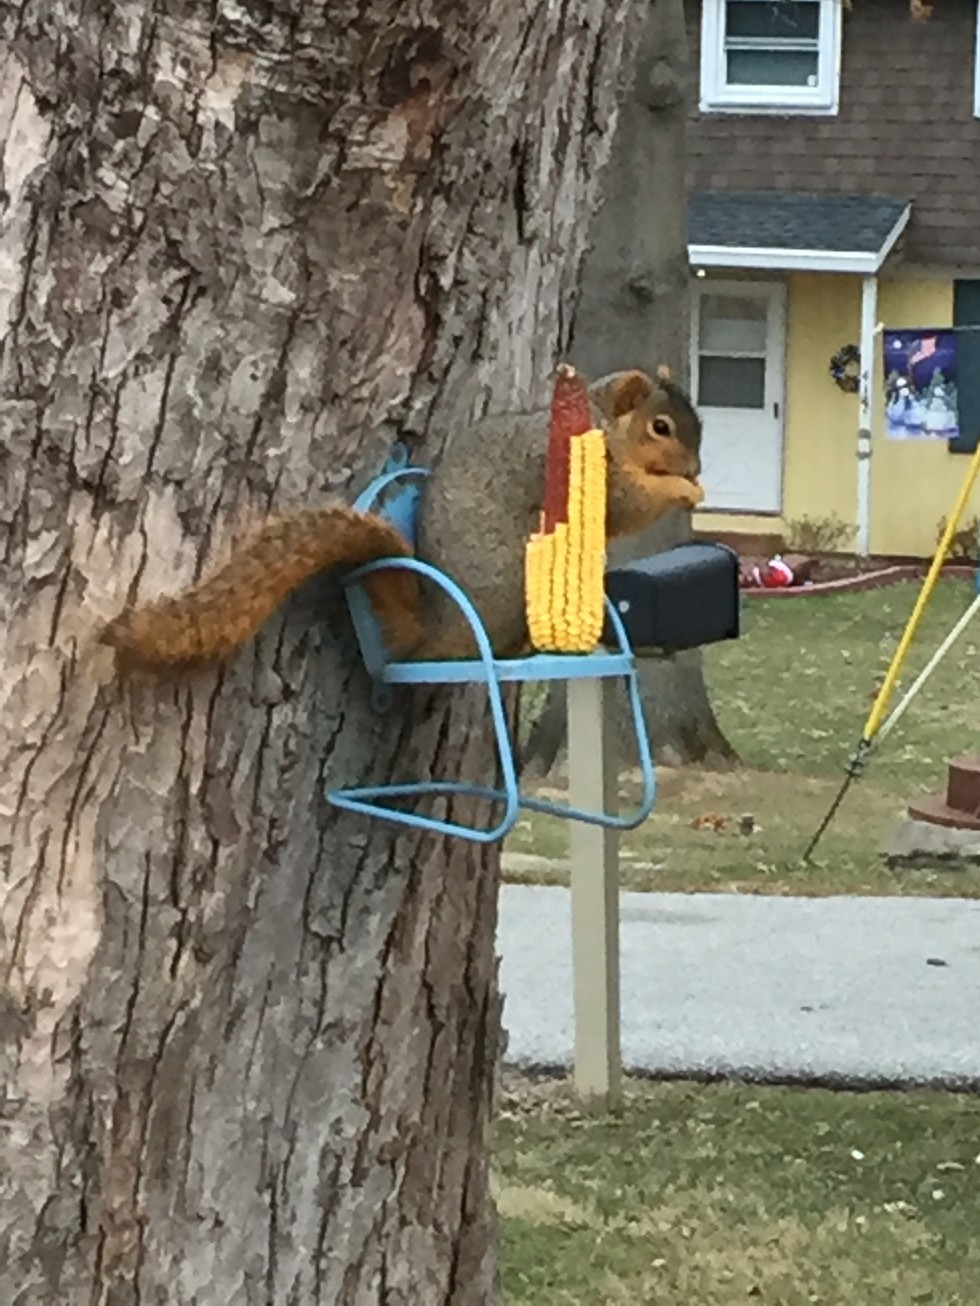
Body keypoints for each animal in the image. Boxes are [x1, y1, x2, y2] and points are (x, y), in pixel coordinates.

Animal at [99, 368, 704, 669]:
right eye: (661, 428)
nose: (698, 466)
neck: (600, 423)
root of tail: (438, 631)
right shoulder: (581, 469)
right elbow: (627, 503)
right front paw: (681, 488)